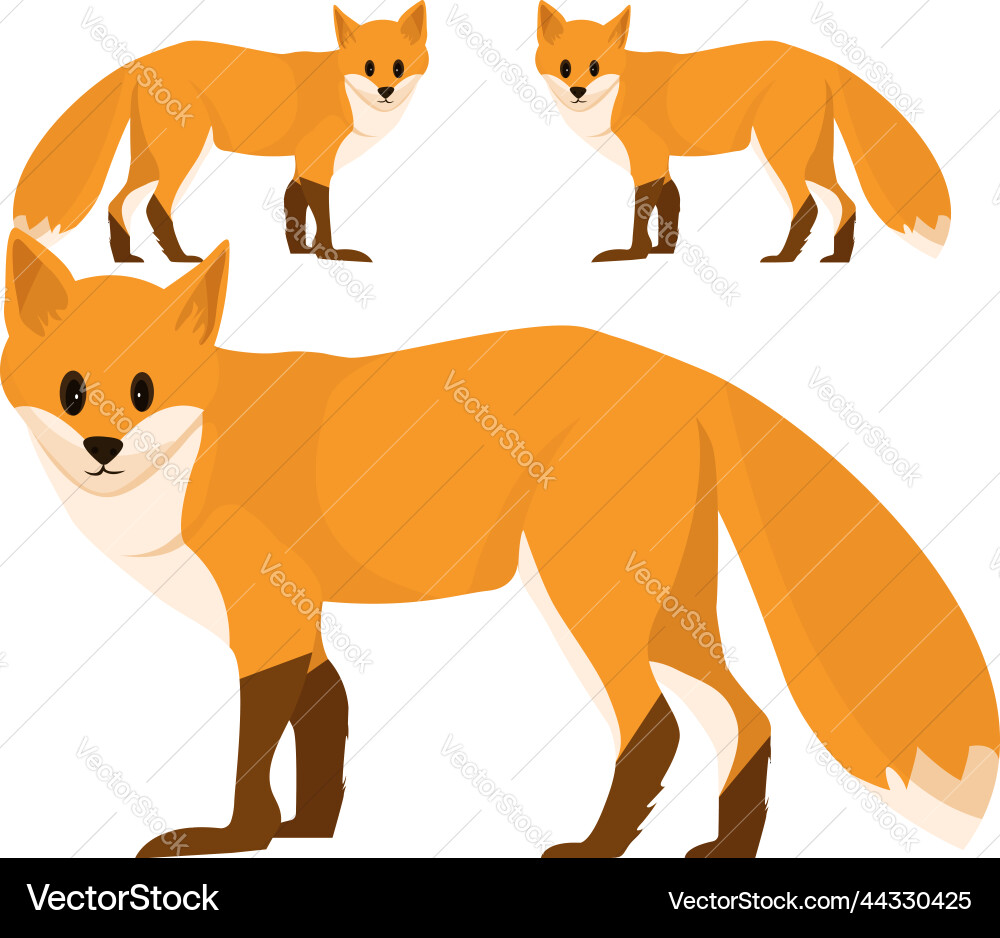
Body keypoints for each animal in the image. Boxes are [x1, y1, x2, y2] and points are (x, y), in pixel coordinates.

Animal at [4, 231, 997, 858]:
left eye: (143, 390)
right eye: (70, 390)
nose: (103, 449)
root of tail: (684, 371)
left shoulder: (264, 614)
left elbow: (260, 744)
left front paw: (234, 840)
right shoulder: (301, 615)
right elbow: (326, 720)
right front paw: (309, 835)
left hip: (589, 593)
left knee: (659, 724)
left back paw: (599, 848)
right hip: (666, 607)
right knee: (747, 718)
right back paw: (725, 851)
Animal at [13, 3, 427, 265]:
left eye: (399, 66)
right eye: (368, 67)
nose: (385, 91)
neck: (347, 98)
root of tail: (143, 60)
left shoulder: (303, 161)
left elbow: (292, 205)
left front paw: (300, 253)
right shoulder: (317, 160)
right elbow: (319, 213)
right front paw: (330, 254)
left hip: (150, 158)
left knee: (118, 203)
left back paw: (125, 258)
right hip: (185, 152)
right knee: (154, 205)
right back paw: (179, 259)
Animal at [535, 3, 951, 264]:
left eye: (595, 67)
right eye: (565, 67)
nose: (577, 91)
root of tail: (815, 58)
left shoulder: (647, 159)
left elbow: (643, 213)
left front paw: (633, 254)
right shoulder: (661, 162)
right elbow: (672, 206)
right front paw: (662, 253)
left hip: (781, 152)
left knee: (809, 205)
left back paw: (785, 258)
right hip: (814, 158)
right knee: (845, 203)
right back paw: (837, 257)